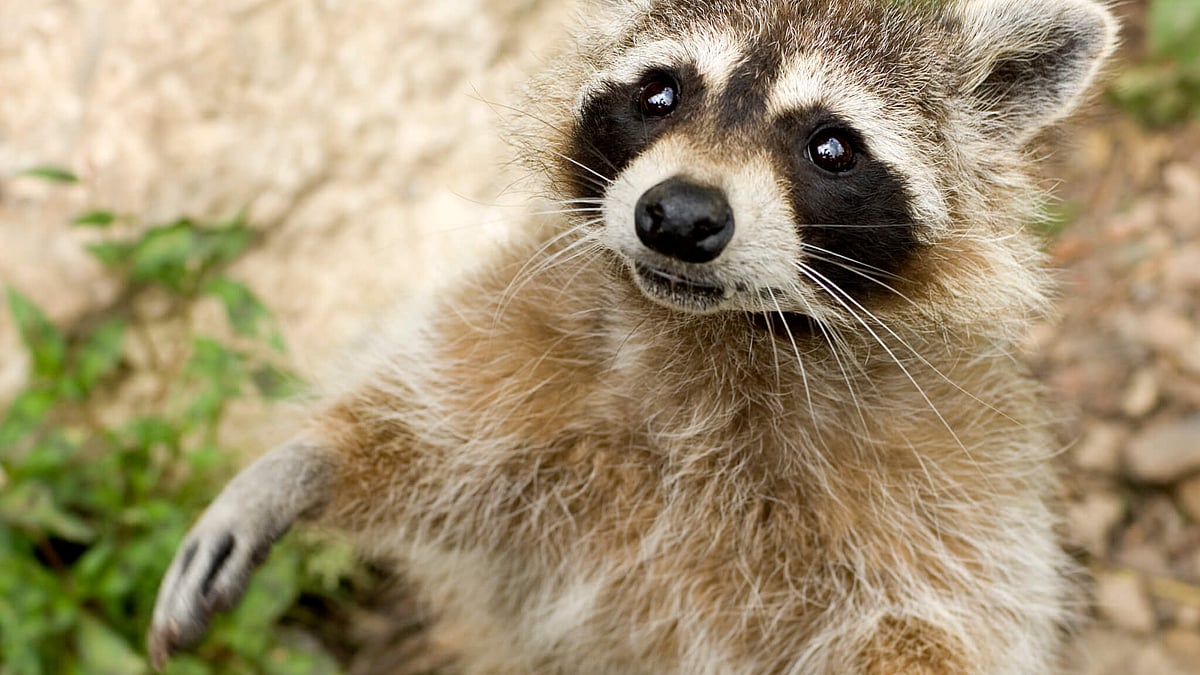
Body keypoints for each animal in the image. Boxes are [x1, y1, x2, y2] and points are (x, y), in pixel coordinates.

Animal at [148, 0, 1117, 672]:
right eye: (661, 92)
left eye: (832, 147)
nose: (681, 215)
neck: (714, 328)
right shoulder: (542, 329)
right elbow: (429, 429)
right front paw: (305, 463)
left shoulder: (943, 465)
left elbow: (931, 622)